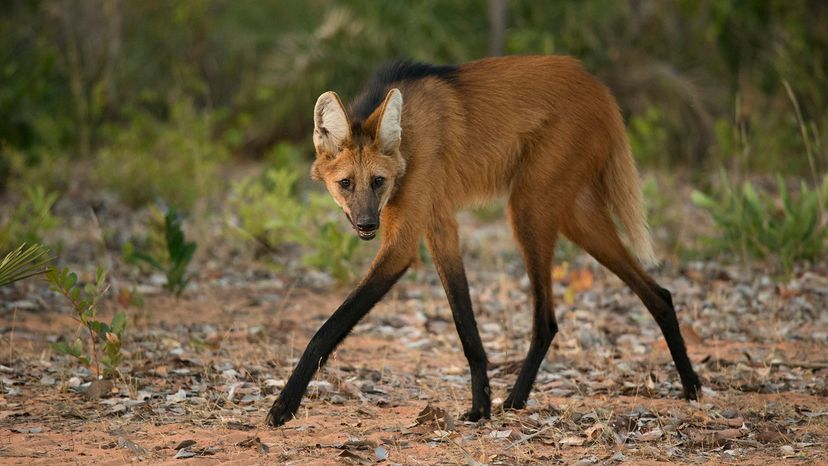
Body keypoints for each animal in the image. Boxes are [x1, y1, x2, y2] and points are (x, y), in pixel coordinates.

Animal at [266, 54, 700, 426]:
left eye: (377, 182)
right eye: (346, 184)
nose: (367, 224)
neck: (408, 137)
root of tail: (596, 85)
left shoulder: (404, 241)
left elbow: (327, 329)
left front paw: (283, 406)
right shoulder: (439, 225)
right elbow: (466, 325)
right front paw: (480, 406)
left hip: (528, 208)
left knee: (546, 320)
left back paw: (518, 399)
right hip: (574, 215)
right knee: (658, 294)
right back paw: (691, 385)